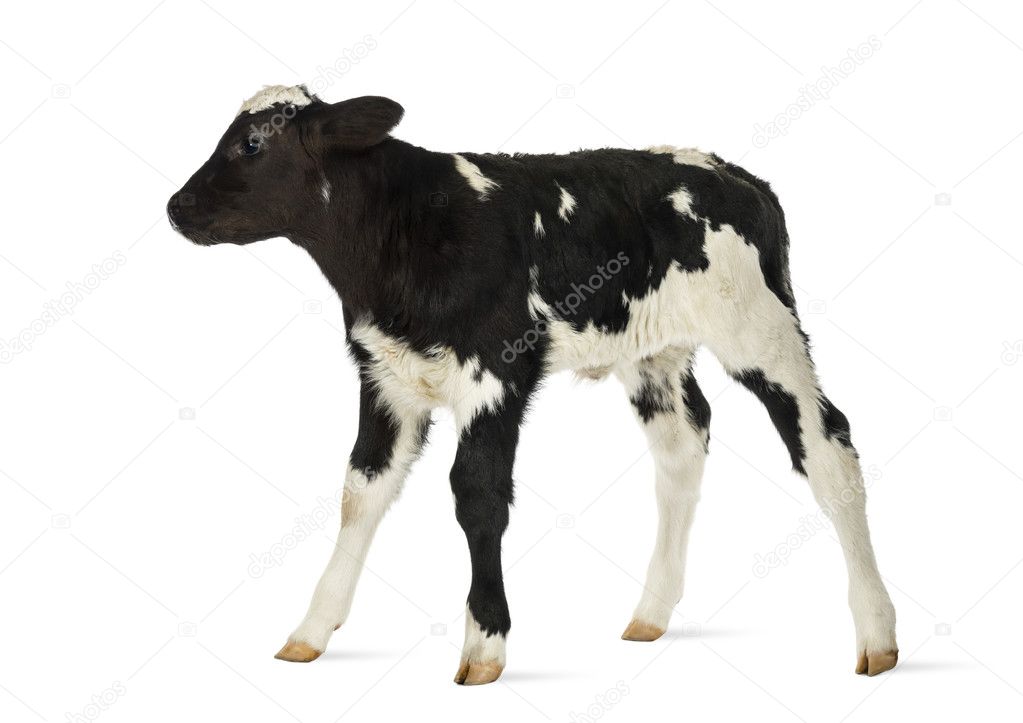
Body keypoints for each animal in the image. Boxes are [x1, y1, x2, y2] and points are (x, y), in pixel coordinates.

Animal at [167, 84, 898, 685]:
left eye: (252, 143)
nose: (176, 207)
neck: (403, 238)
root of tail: (734, 173)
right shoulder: (385, 376)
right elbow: (360, 491)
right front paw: (311, 630)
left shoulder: (496, 371)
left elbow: (477, 495)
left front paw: (484, 644)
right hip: (654, 353)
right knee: (682, 448)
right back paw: (651, 613)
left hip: (760, 330)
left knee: (828, 446)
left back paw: (877, 633)